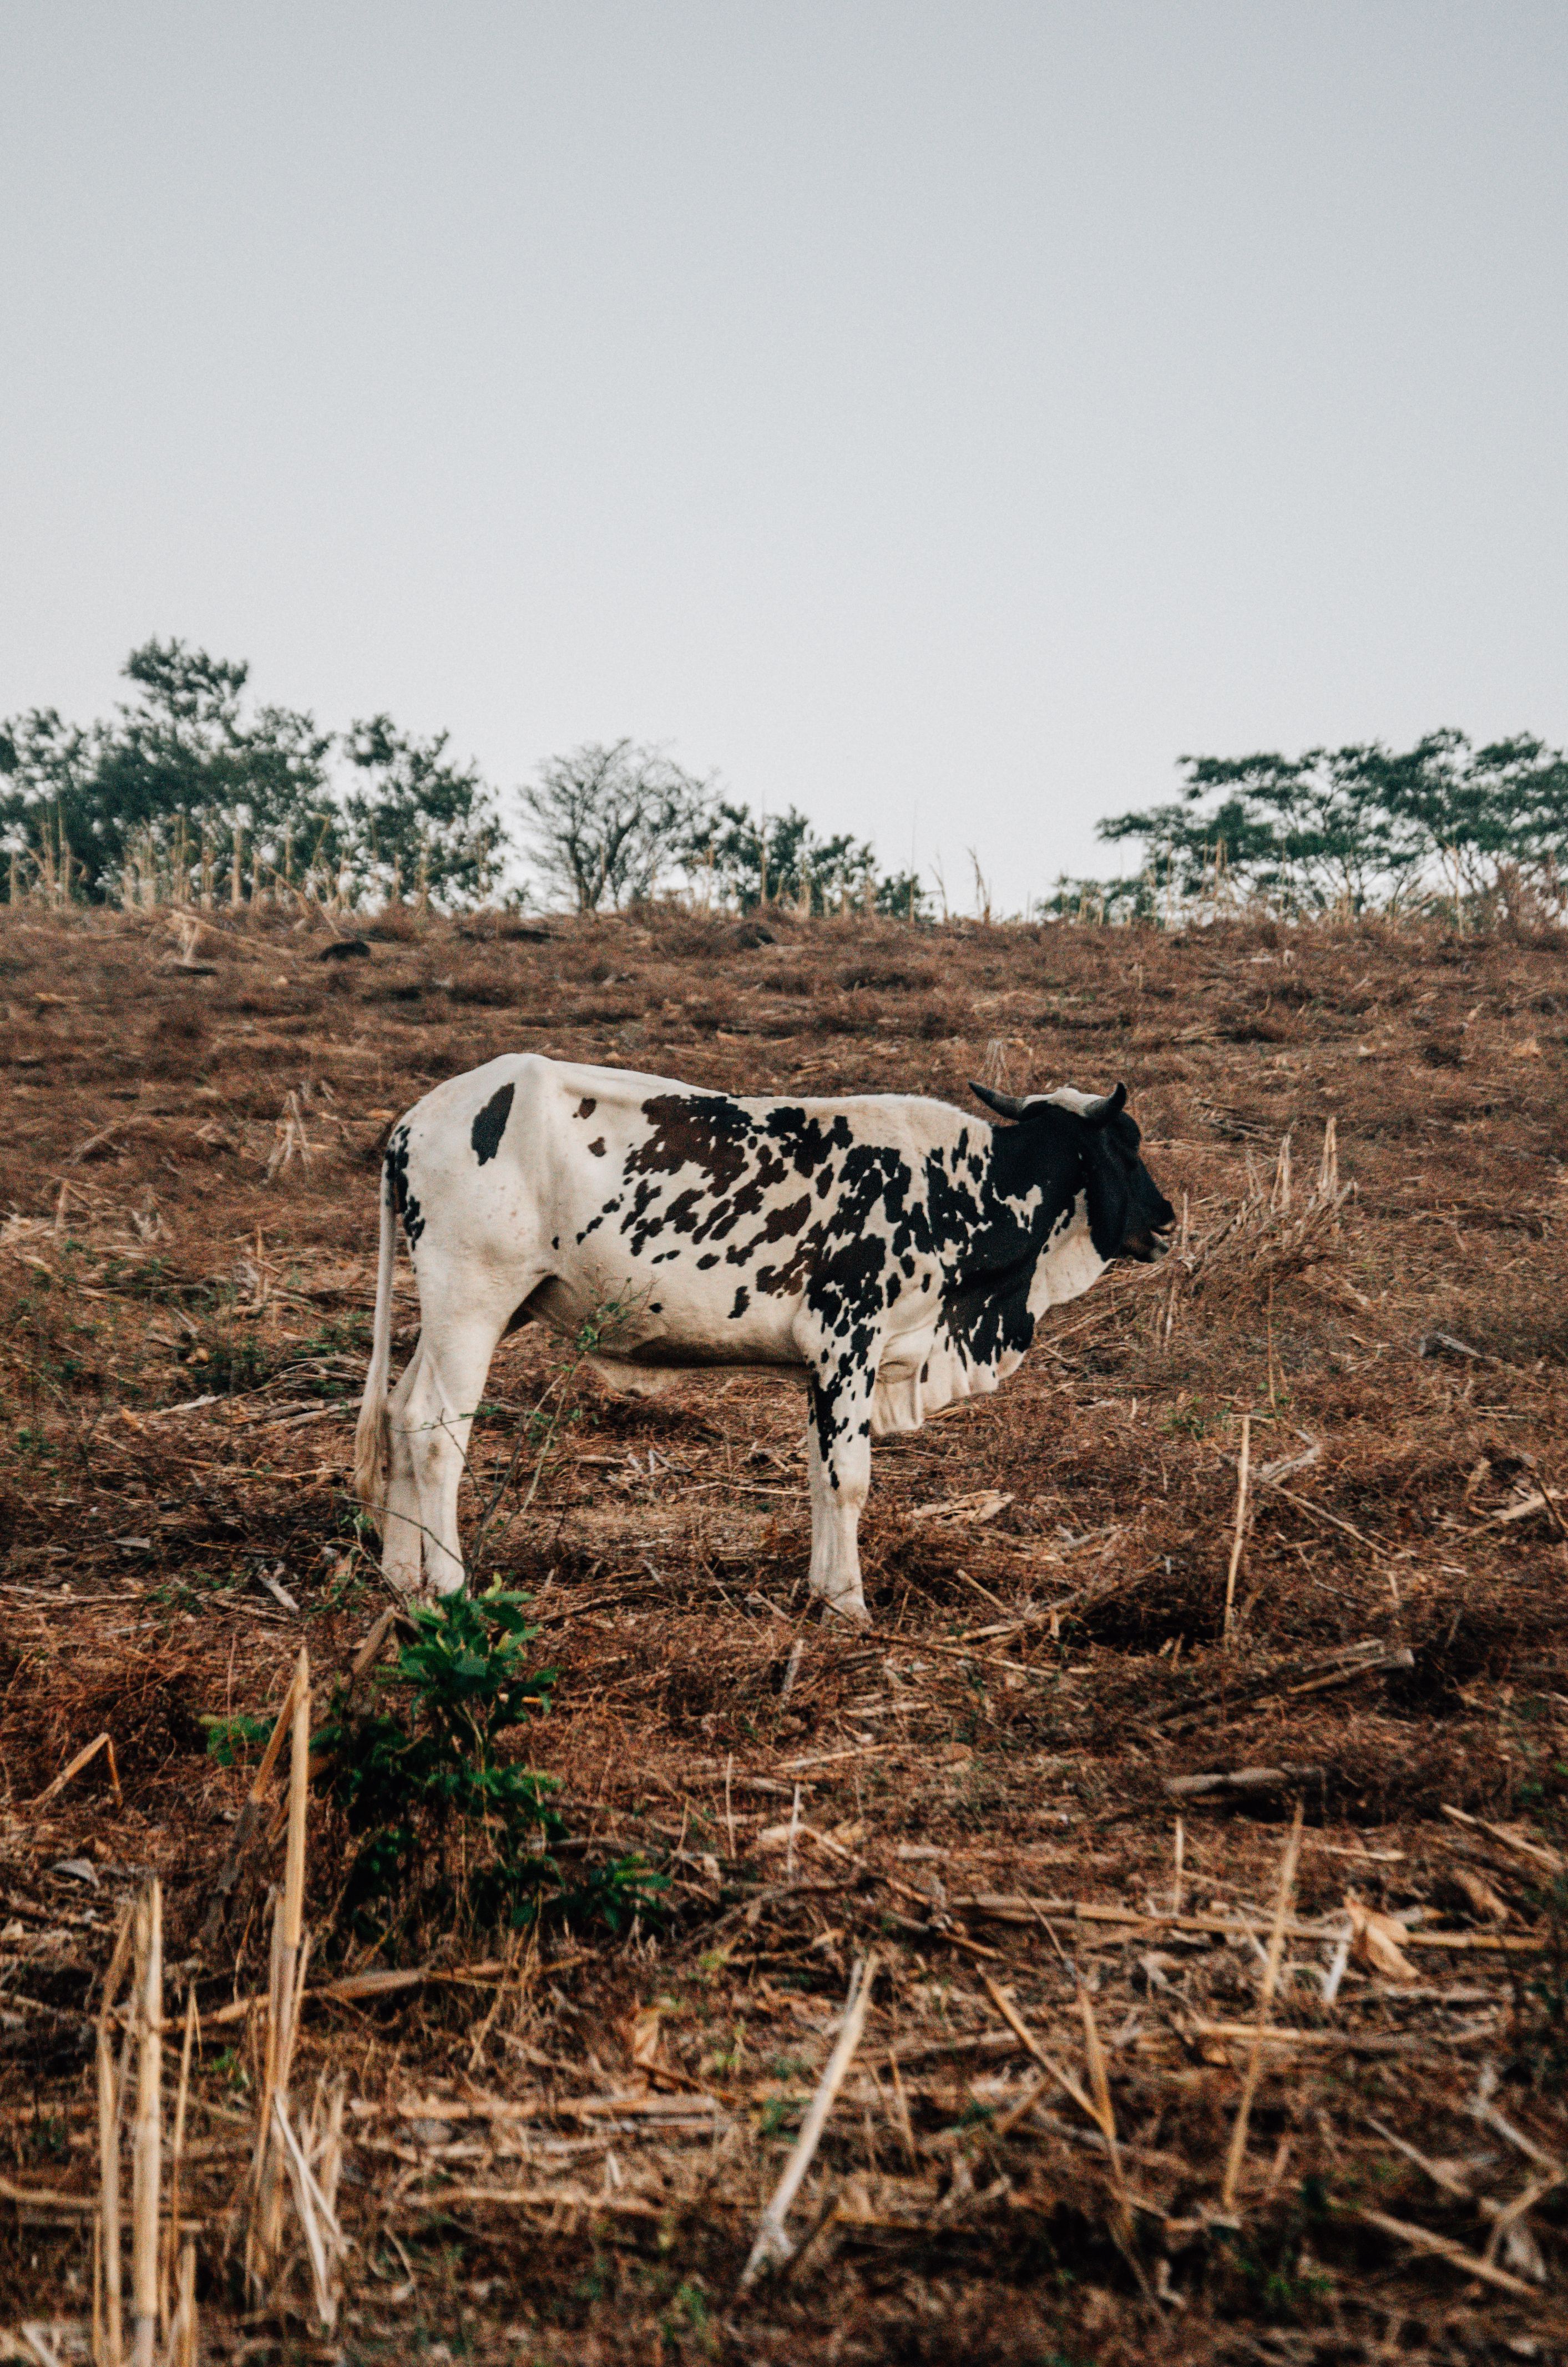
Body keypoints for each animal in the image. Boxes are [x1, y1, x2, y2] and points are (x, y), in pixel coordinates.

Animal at [353, 1055, 1174, 1621]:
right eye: (1126, 1142)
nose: (1166, 1220)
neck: (958, 1185)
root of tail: (415, 1119)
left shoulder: (825, 1364)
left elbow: (818, 1474)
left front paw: (821, 1588)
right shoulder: (849, 1337)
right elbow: (849, 1478)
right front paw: (848, 1603)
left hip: (463, 1312)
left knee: (396, 1414)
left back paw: (403, 1578)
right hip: (472, 1302)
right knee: (433, 1430)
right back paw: (449, 1588)